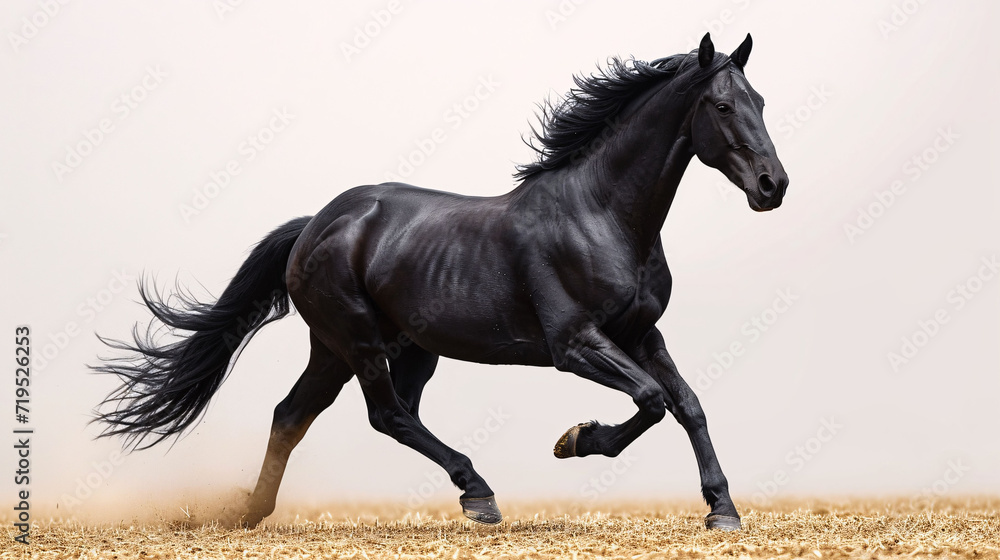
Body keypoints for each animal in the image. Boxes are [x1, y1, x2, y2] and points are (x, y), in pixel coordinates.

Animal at [93, 33, 788, 531]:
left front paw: (723, 511)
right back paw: (478, 495)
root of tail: (318, 223)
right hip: (357, 340)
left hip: (364, 349)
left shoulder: (643, 334)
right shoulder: (574, 344)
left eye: (759, 102)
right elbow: (650, 399)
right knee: (385, 414)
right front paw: (574, 441)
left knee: (299, 414)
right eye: (722, 105)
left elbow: (687, 403)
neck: (600, 216)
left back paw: (249, 513)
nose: (772, 186)